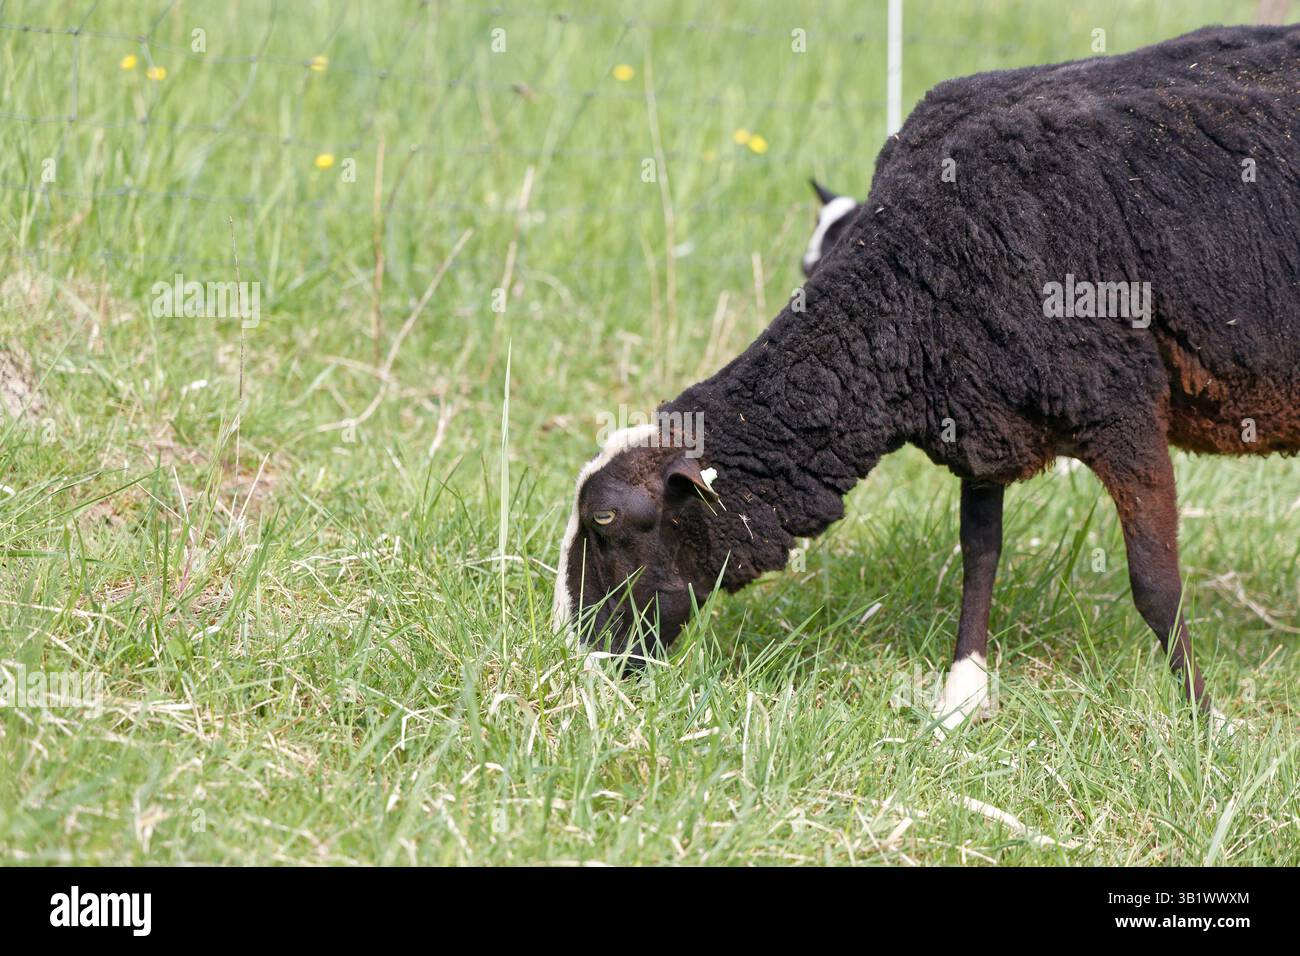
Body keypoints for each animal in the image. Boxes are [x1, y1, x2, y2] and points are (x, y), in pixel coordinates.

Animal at [554, 24, 1300, 732]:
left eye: (606, 520)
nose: (577, 656)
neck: (911, 278)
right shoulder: (982, 411)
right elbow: (980, 551)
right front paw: (960, 697)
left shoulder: (1121, 410)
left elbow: (1155, 584)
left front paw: (1207, 723)